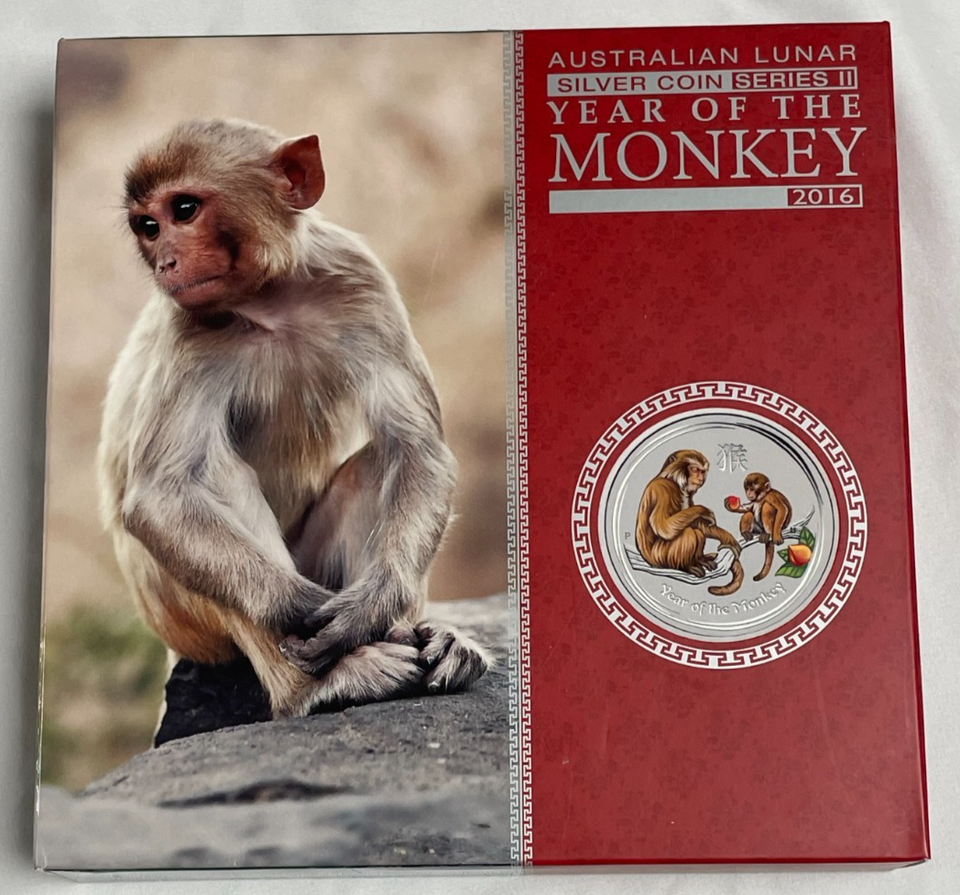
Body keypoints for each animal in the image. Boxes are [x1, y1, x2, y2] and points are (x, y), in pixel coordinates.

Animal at [97, 118, 490, 720]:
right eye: (148, 226)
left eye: (183, 209)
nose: (164, 262)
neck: (271, 300)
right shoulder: (187, 329)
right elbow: (160, 497)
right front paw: (302, 606)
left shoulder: (360, 280)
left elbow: (416, 448)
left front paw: (367, 610)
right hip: (181, 619)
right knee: (214, 475)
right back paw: (321, 684)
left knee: (381, 460)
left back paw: (428, 643)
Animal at [635, 449, 744, 597]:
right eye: (694, 469)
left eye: (702, 471)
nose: (700, 478)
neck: (675, 481)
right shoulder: (662, 489)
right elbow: (664, 528)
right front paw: (702, 509)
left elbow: (698, 524)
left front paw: (728, 538)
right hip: (659, 557)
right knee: (688, 533)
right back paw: (686, 566)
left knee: (696, 532)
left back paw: (699, 559)